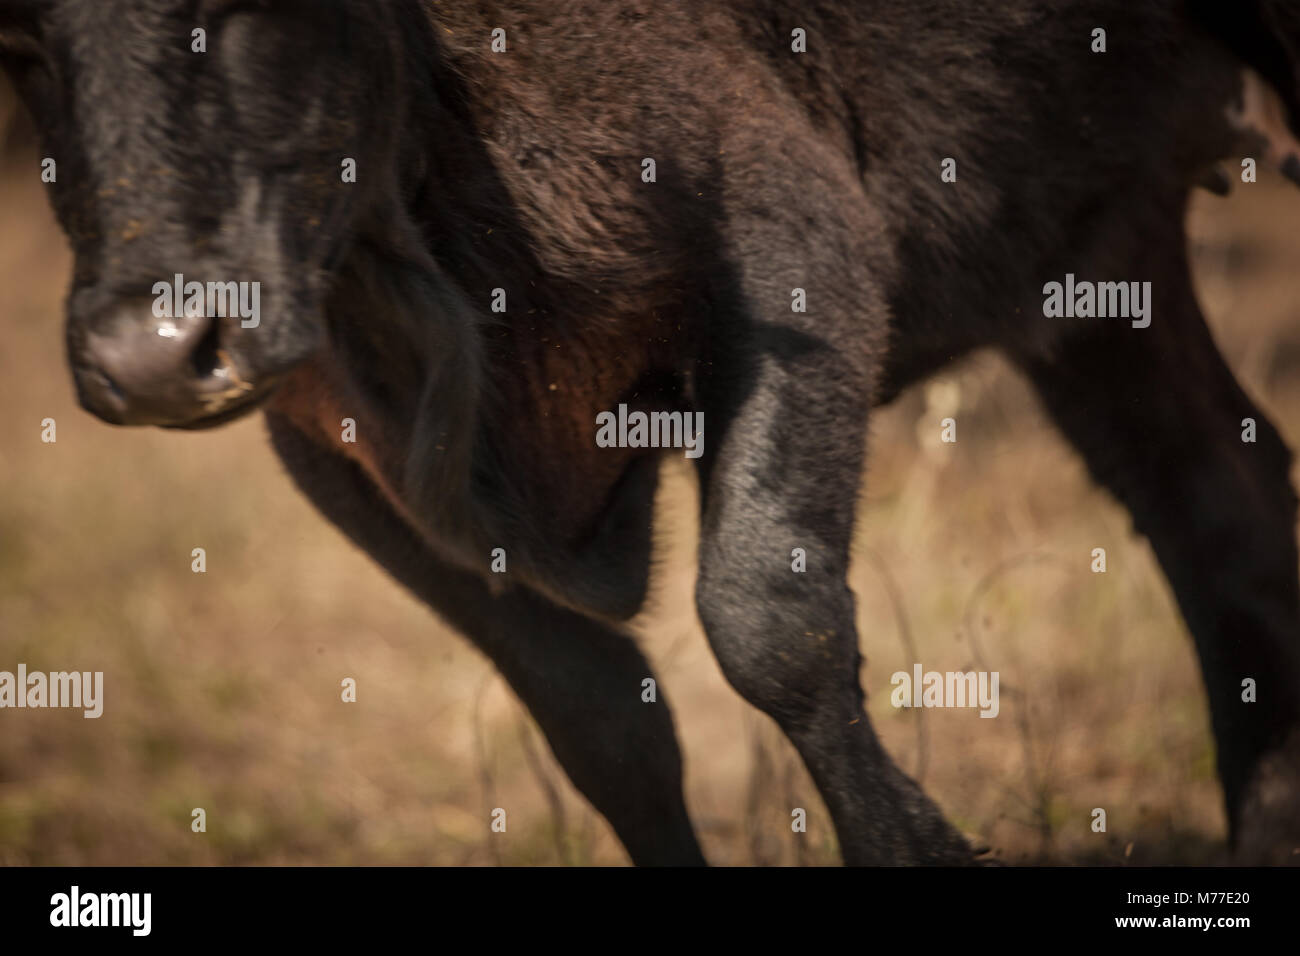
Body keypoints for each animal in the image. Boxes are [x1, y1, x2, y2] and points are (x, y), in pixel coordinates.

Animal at [2, 0, 1299, 865]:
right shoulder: (343, 456)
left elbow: (767, 619)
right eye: (19, 46)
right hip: (1100, 266)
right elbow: (599, 719)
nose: (150, 356)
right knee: (1223, 509)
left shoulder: (788, 234)